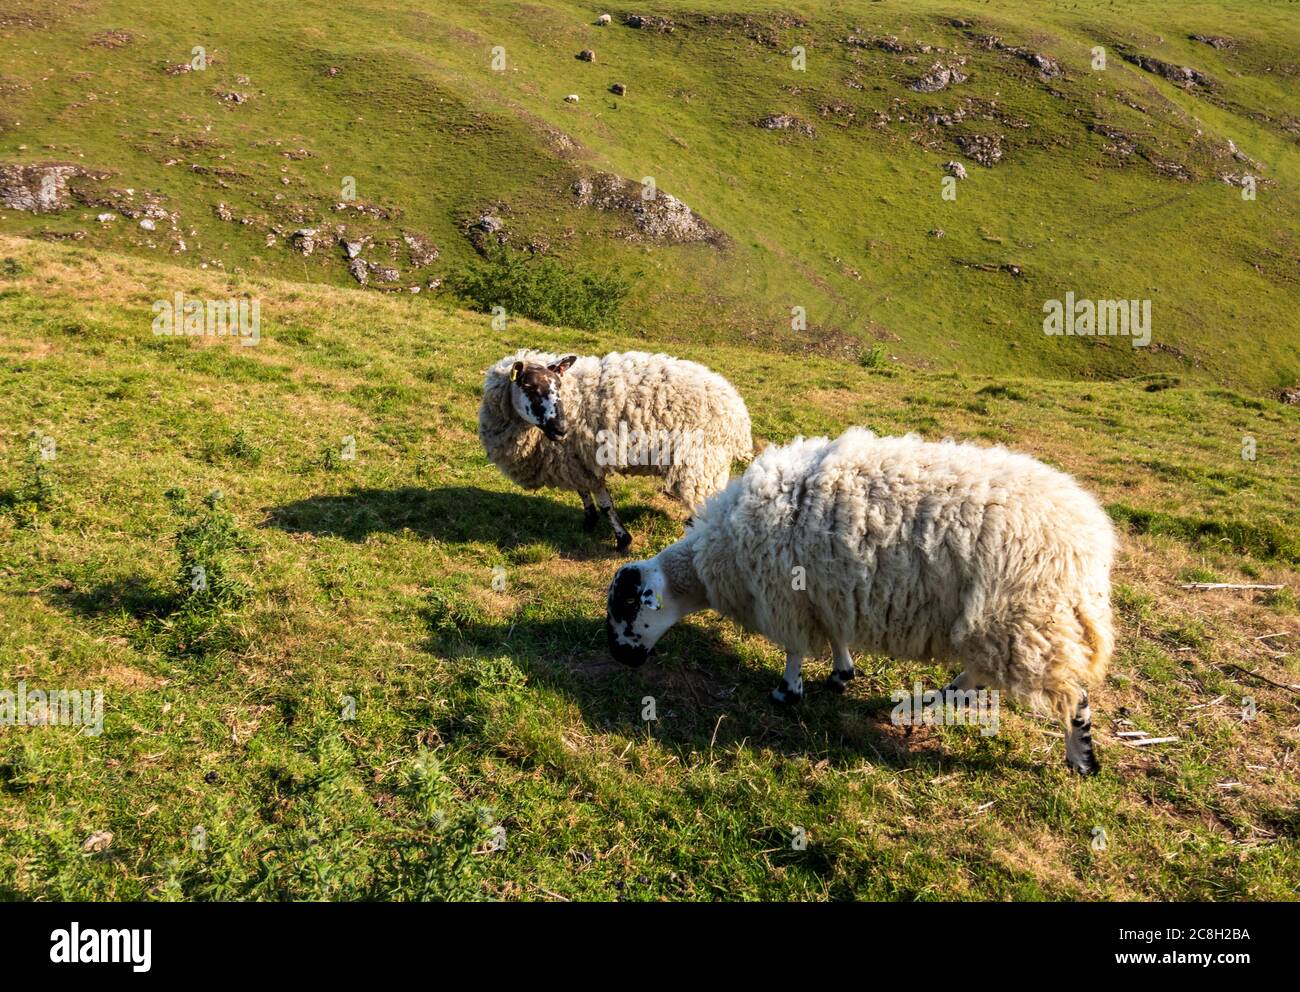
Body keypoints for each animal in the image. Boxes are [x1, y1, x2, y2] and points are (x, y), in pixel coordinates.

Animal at [479, 349, 753, 550]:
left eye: (558, 385)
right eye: (530, 388)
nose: (562, 429)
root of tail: (738, 414)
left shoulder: (580, 459)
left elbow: (606, 503)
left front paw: (622, 540)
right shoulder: (575, 461)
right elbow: (585, 493)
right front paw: (589, 521)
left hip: (701, 461)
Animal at [605, 427, 1116, 775]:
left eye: (626, 610)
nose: (620, 660)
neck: (718, 555)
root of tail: (1091, 541)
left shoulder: (786, 596)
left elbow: (793, 649)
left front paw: (787, 692)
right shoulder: (826, 592)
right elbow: (836, 636)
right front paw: (841, 673)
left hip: (1026, 620)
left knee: (1072, 694)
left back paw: (1082, 758)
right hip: (1001, 623)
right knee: (979, 672)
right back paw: (931, 699)